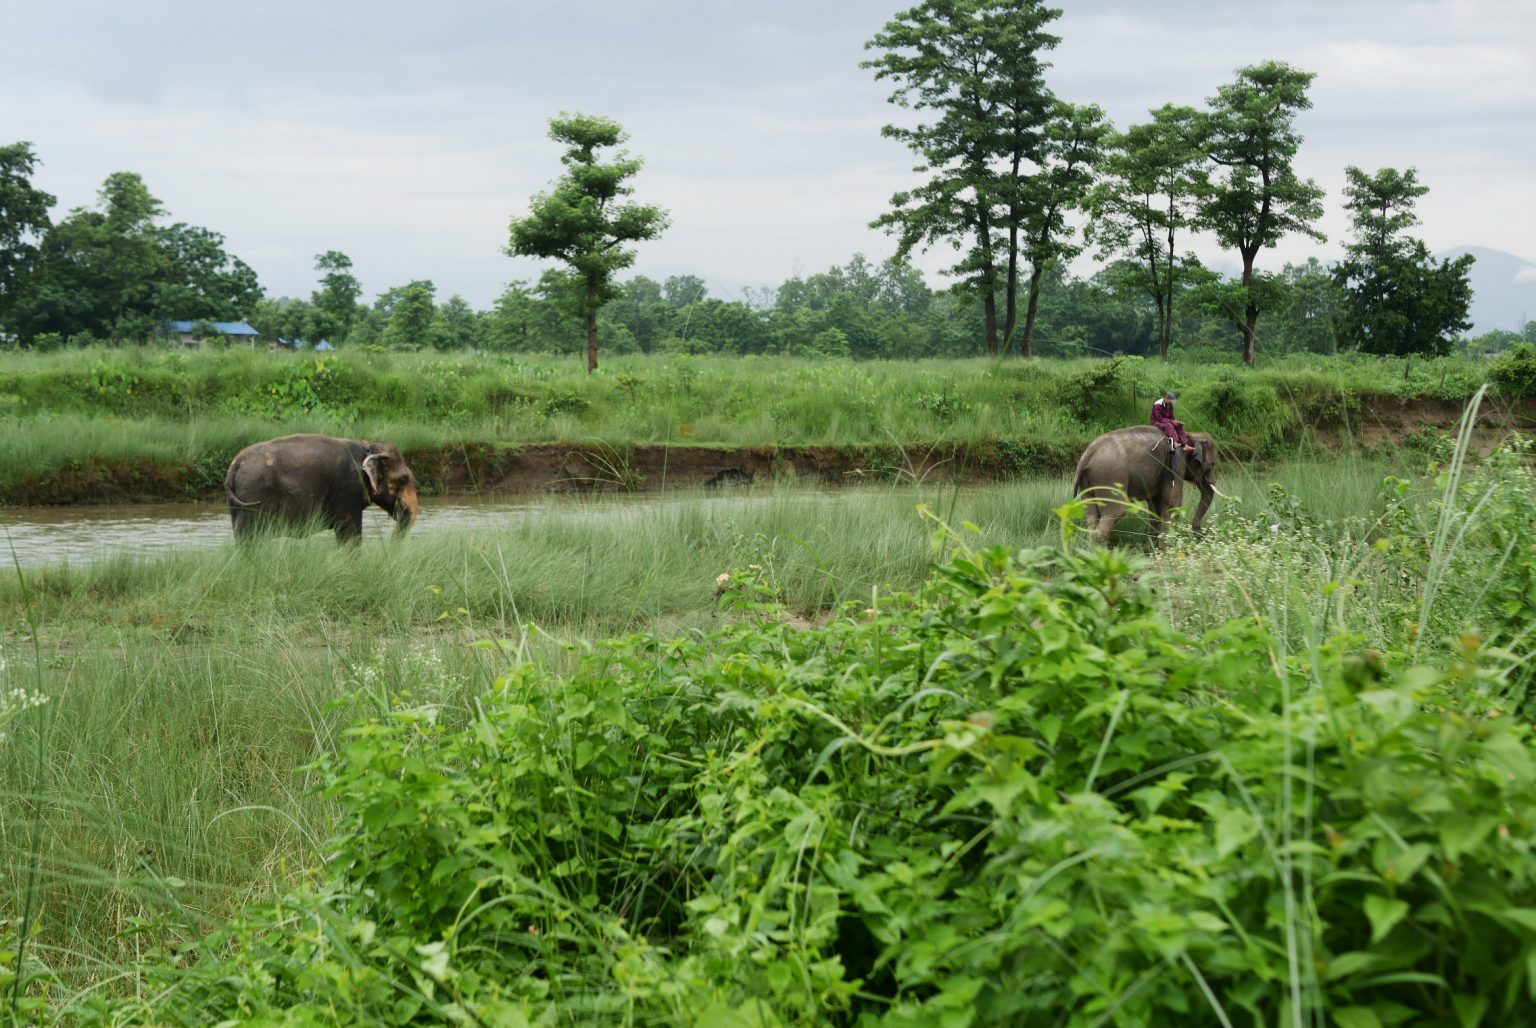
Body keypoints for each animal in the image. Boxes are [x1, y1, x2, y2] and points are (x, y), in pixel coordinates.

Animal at [225, 434, 420, 542]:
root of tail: (235, 465)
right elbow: (349, 533)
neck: (368, 447)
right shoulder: (348, 488)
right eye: (403, 480)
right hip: (254, 494)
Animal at [1072, 426, 1218, 544]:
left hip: (1088, 484)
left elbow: (1155, 506)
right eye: (1213, 464)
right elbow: (1172, 504)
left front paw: (1153, 550)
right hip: (1109, 478)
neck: (1189, 435)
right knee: (1114, 514)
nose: (1202, 534)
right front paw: (1166, 552)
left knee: (1091, 517)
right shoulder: (1176, 465)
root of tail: (1086, 456)